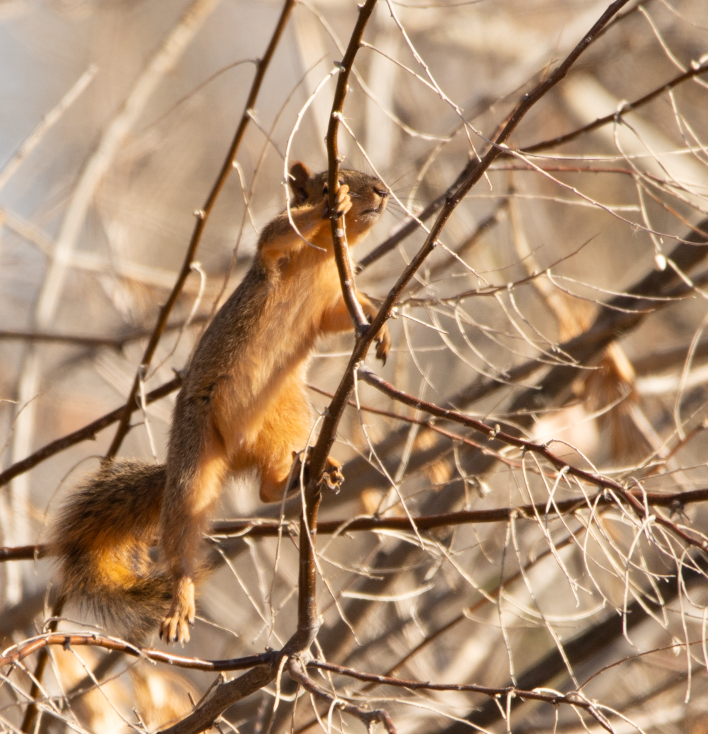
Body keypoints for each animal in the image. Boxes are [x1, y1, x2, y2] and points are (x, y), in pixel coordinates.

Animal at [50, 162, 390, 644]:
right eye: (332, 176)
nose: (382, 190)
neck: (324, 256)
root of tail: (236, 452)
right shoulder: (272, 255)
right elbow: (276, 233)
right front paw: (332, 204)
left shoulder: (329, 306)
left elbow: (343, 315)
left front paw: (378, 322)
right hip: (195, 455)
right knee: (183, 536)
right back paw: (180, 597)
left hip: (286, 420)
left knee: (267, 488)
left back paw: (304, 472)